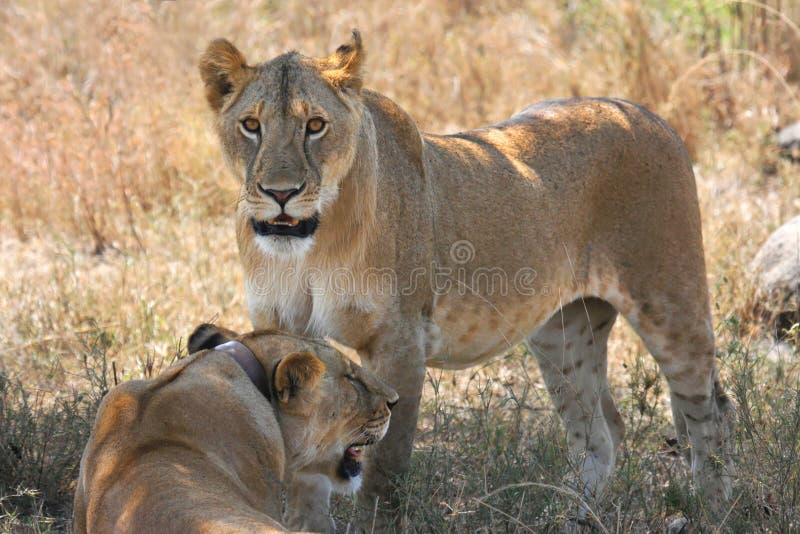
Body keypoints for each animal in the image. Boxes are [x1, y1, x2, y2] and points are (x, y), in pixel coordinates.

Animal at [199, 30, 735, 527]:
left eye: (315, 126)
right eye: (251, 126)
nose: (280, 193)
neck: (308, 248)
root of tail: (647, 114)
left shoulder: (400, 342)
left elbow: (384, 469)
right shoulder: (282, 332)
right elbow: (303, 466)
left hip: (669, 304)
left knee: (709, 419)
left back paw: (713, 512)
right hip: (563, 332)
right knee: (601, 433)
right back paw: (570, 518)